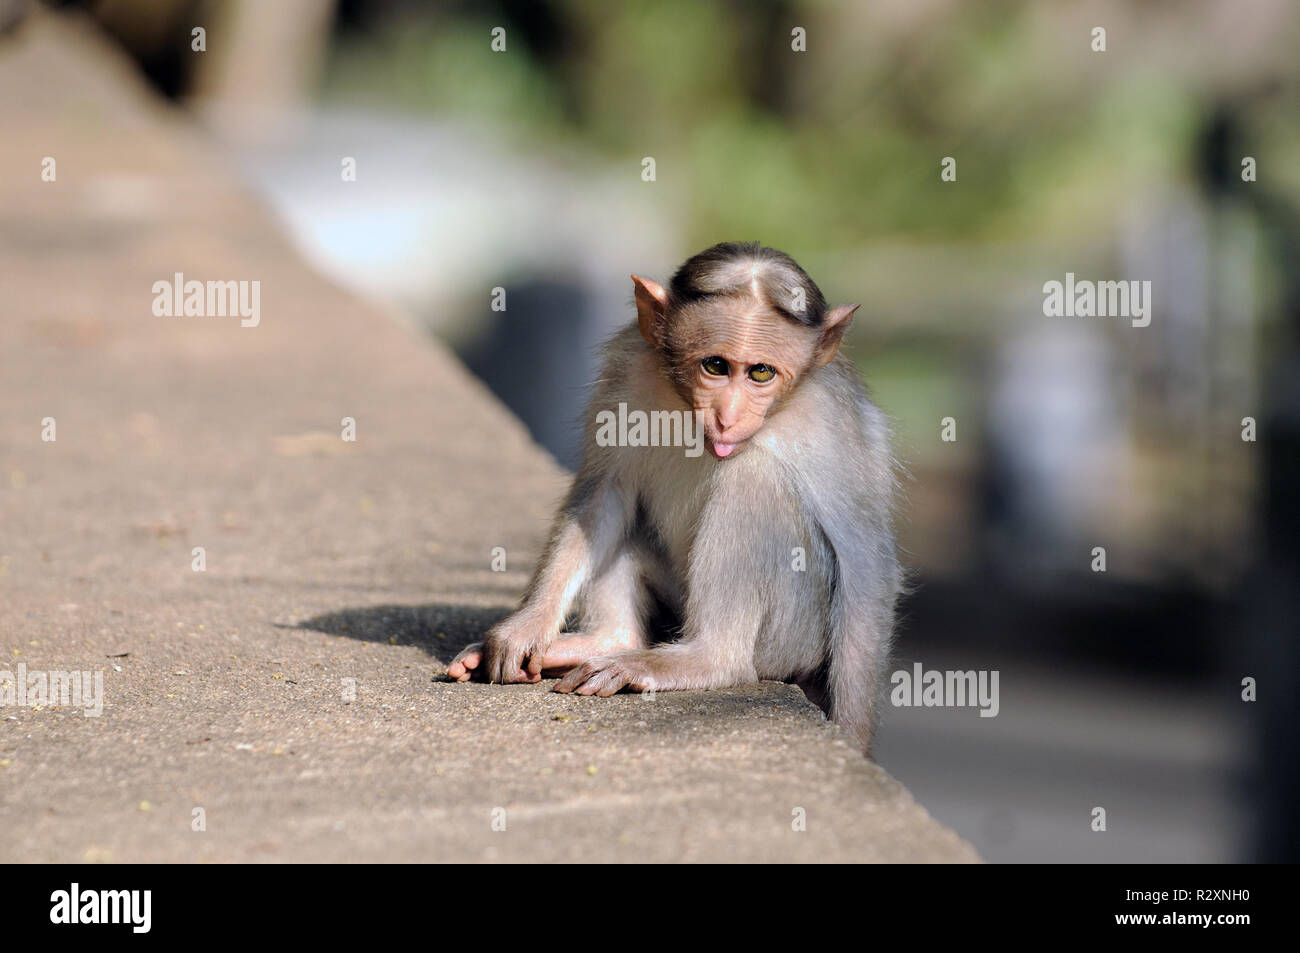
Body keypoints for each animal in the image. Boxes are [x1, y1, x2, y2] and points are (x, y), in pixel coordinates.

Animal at [447, 241, 902, 753]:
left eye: (761, 372)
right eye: (716, 365)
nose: (727, 417)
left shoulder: (833, 419)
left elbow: (866, 558)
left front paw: (852, 736)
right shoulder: (628, 367)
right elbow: (605, 492)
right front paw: (527, 625)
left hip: (796, 634)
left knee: (753, 480)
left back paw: (706, 660)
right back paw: (608, 642)